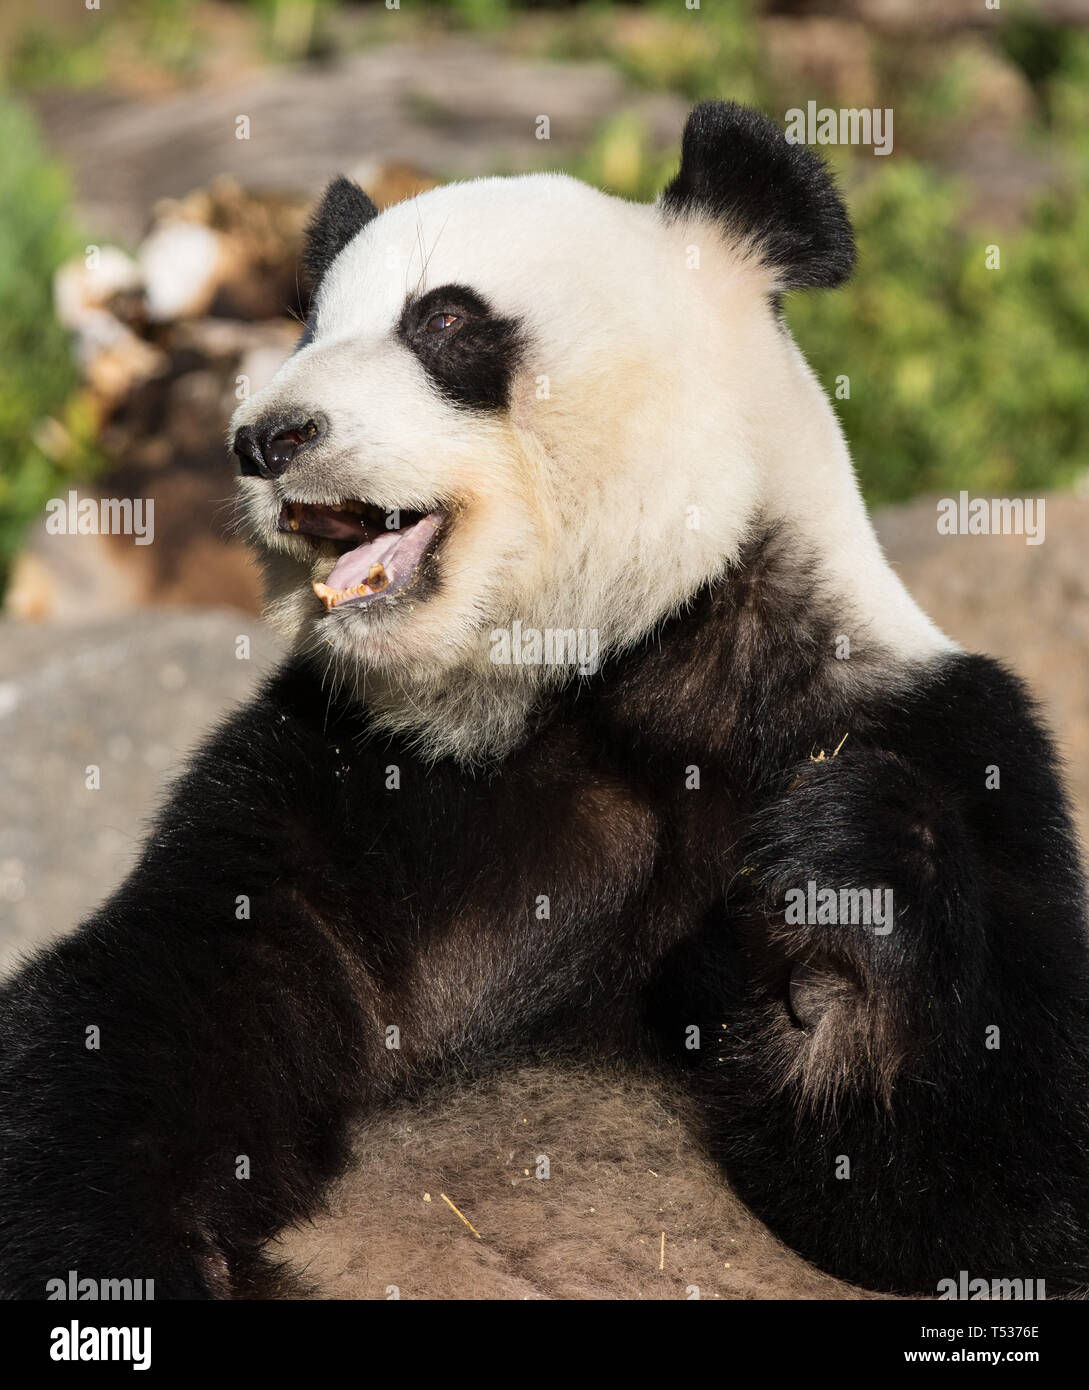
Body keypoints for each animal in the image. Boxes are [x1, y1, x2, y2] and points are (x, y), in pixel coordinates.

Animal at [2, 99, 1088, 1300]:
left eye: (442, 319)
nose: (266, 439)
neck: (604, 668)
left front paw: (842, 867)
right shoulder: (337, 768)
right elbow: (144, 1015)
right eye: (307, 330)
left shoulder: (945, 731)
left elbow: (994, 1190)